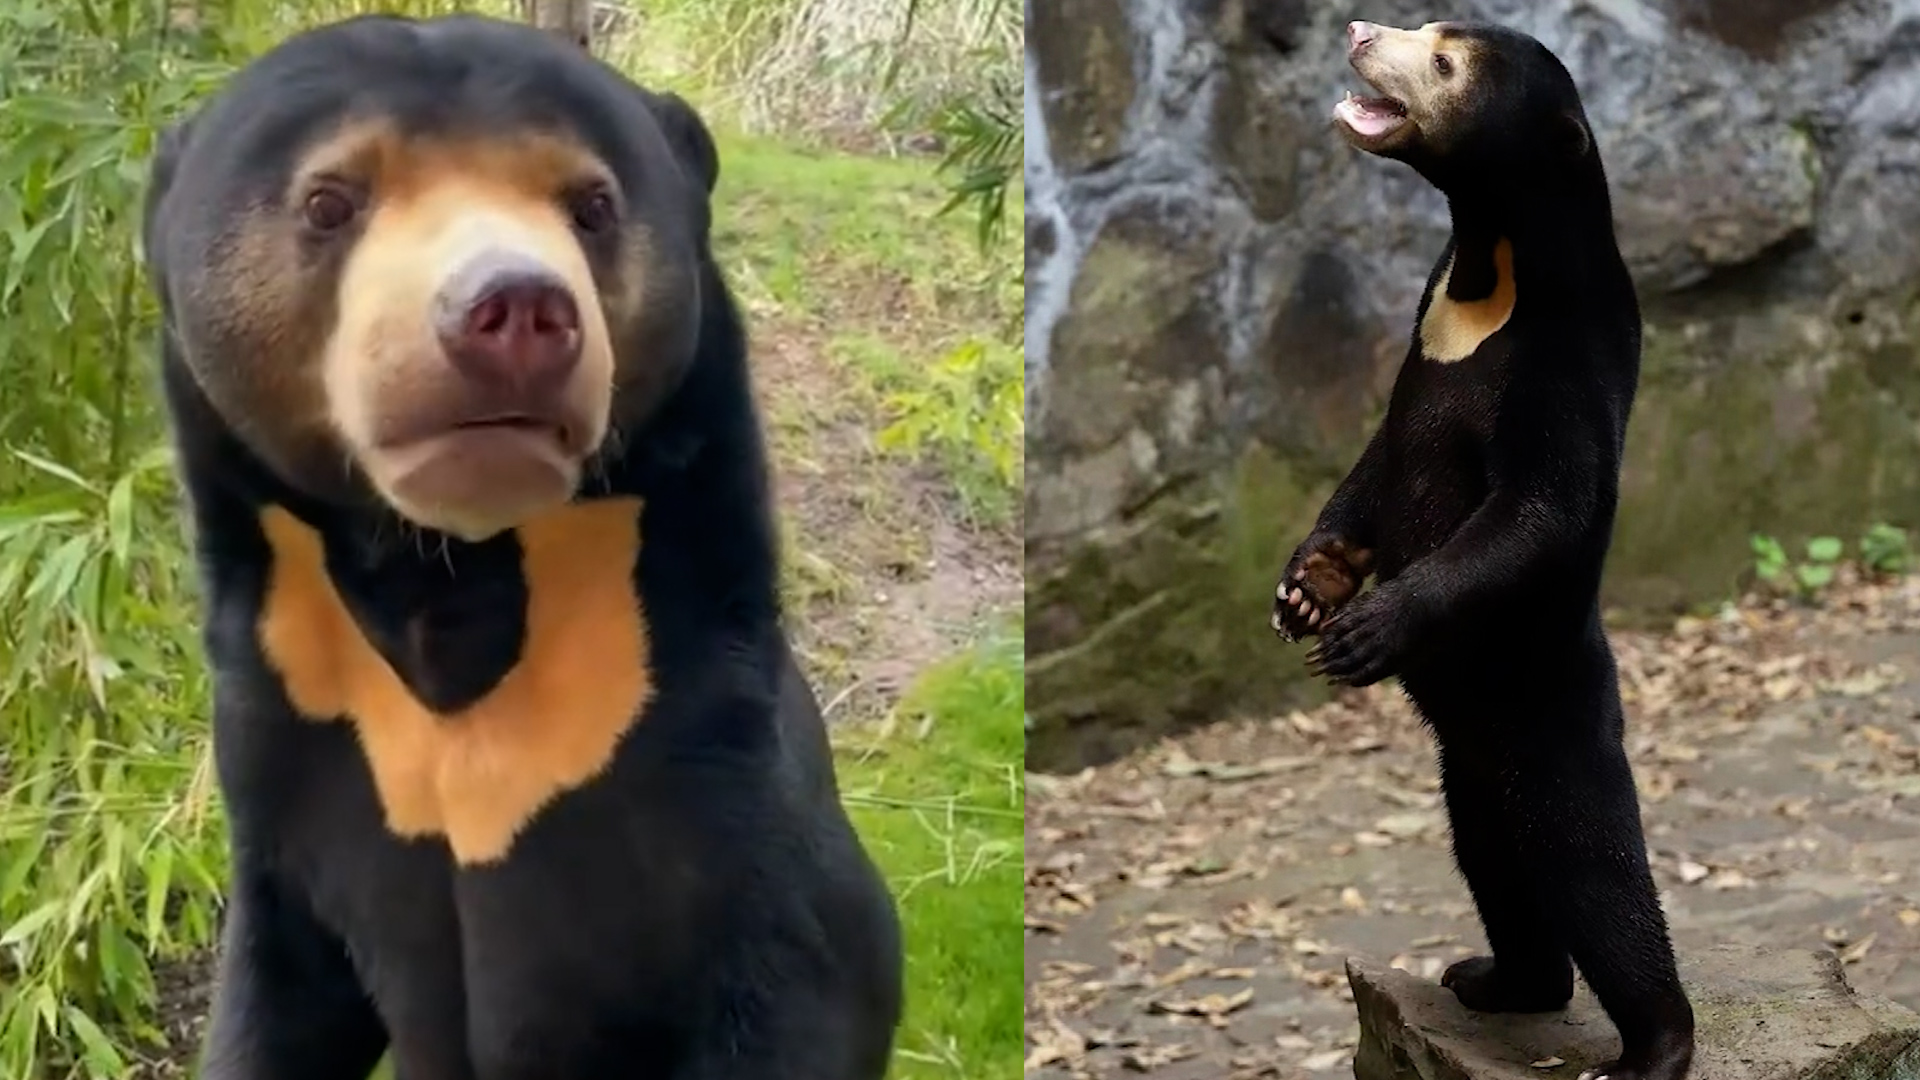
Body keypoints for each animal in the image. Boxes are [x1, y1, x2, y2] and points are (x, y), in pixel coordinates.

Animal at [142, 14, 903, 1079]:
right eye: (331, 201)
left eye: (592, 204)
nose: (514, 311)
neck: (450, 574)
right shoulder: (284, 737)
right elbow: (277, 996)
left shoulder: (717, 743)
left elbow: (801, 967)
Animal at [1270, 21, 1694, 1080]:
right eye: (1429, 30)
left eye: (1443, 63)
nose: (1357, 30)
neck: (1487, 262)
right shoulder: (1420, 337)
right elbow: (1377, 463)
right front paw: (1306, 592)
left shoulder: (1561, 359)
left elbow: (1540, 506)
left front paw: (1364, 632)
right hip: (1471, 765)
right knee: (1495, 859)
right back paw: (1498, 980)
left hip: (1547, 716)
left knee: (1593, 867)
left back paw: (1654, 1045)